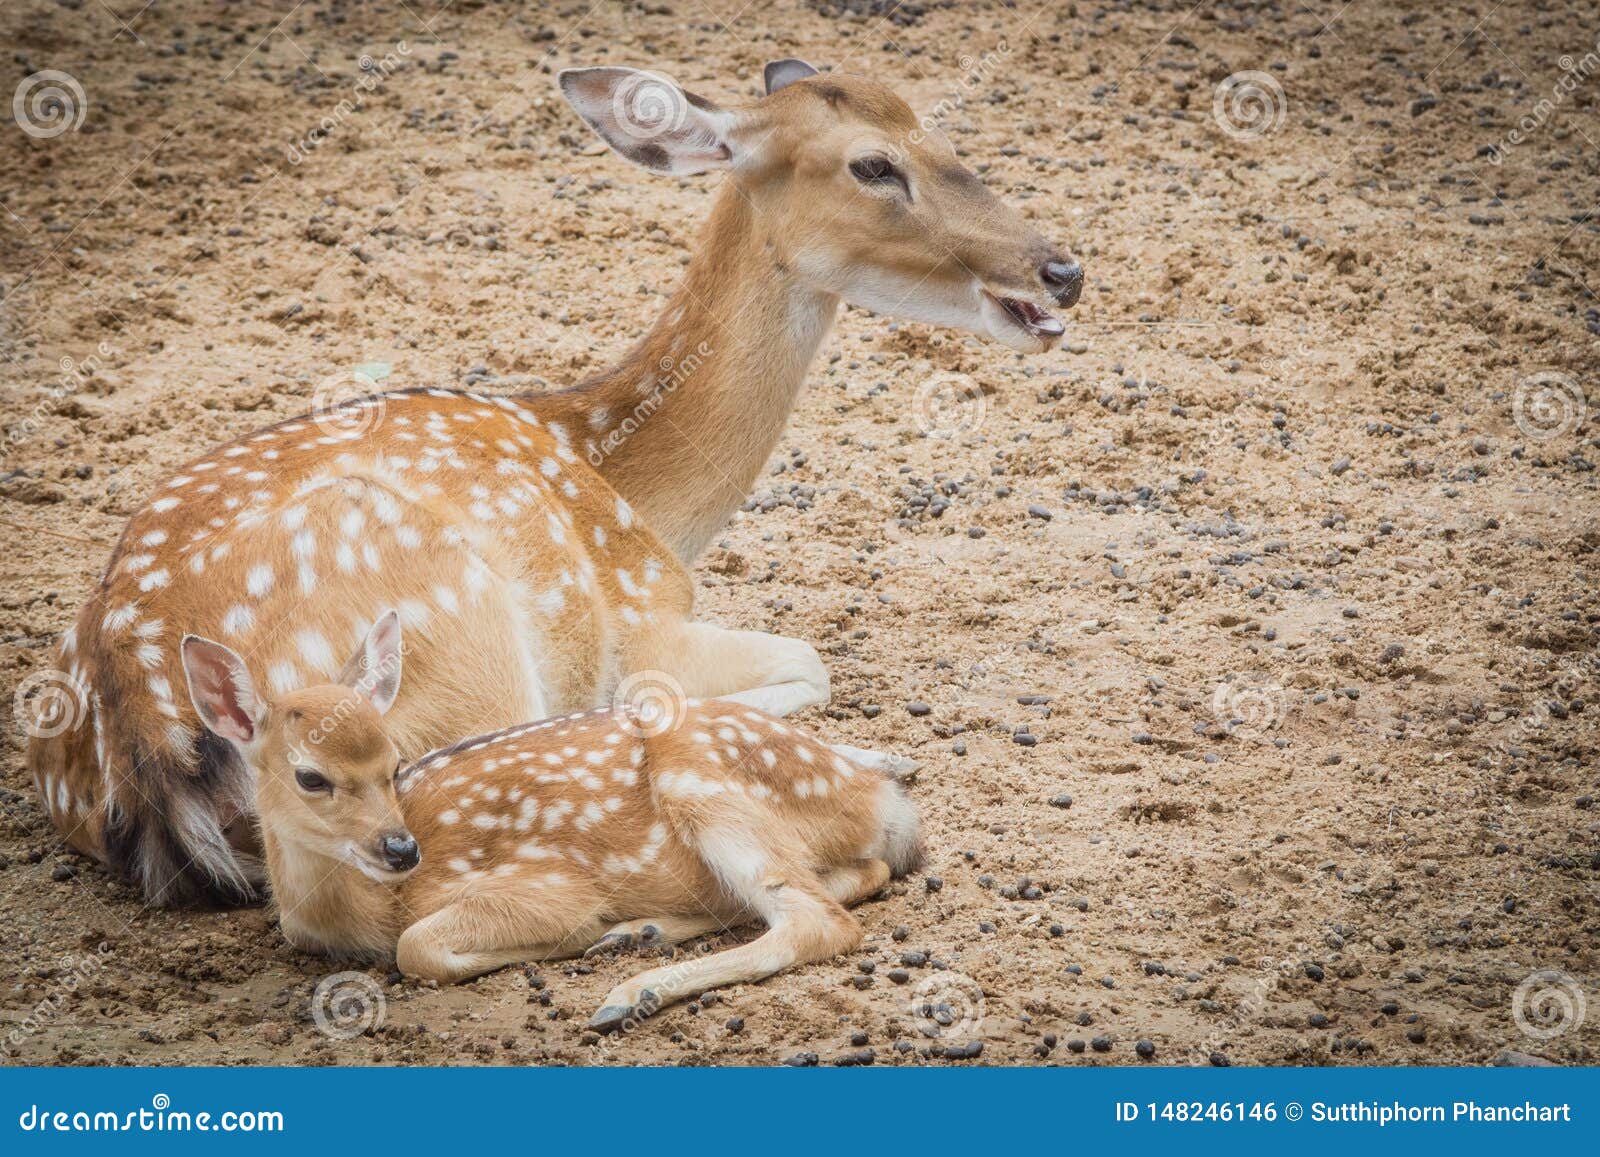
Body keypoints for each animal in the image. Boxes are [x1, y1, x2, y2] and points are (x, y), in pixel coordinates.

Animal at [28, 59, 1082, 906]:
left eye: (941, 135)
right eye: (873, 164)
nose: (1061, 268)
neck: (627, 484)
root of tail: (144, 735)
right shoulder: (646, 615)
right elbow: (805, 661)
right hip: (448, 657)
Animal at [179, 611, 921, 1027]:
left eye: (393, 762)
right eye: (311, 776)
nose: (401, 849)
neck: (356, 910)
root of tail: (882, 800)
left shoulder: (544, 884)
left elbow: (417, 946)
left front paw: (573, 935)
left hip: (701, 786)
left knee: (818, 920)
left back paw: (627, 991)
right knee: (853, 877)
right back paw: (638, 934)